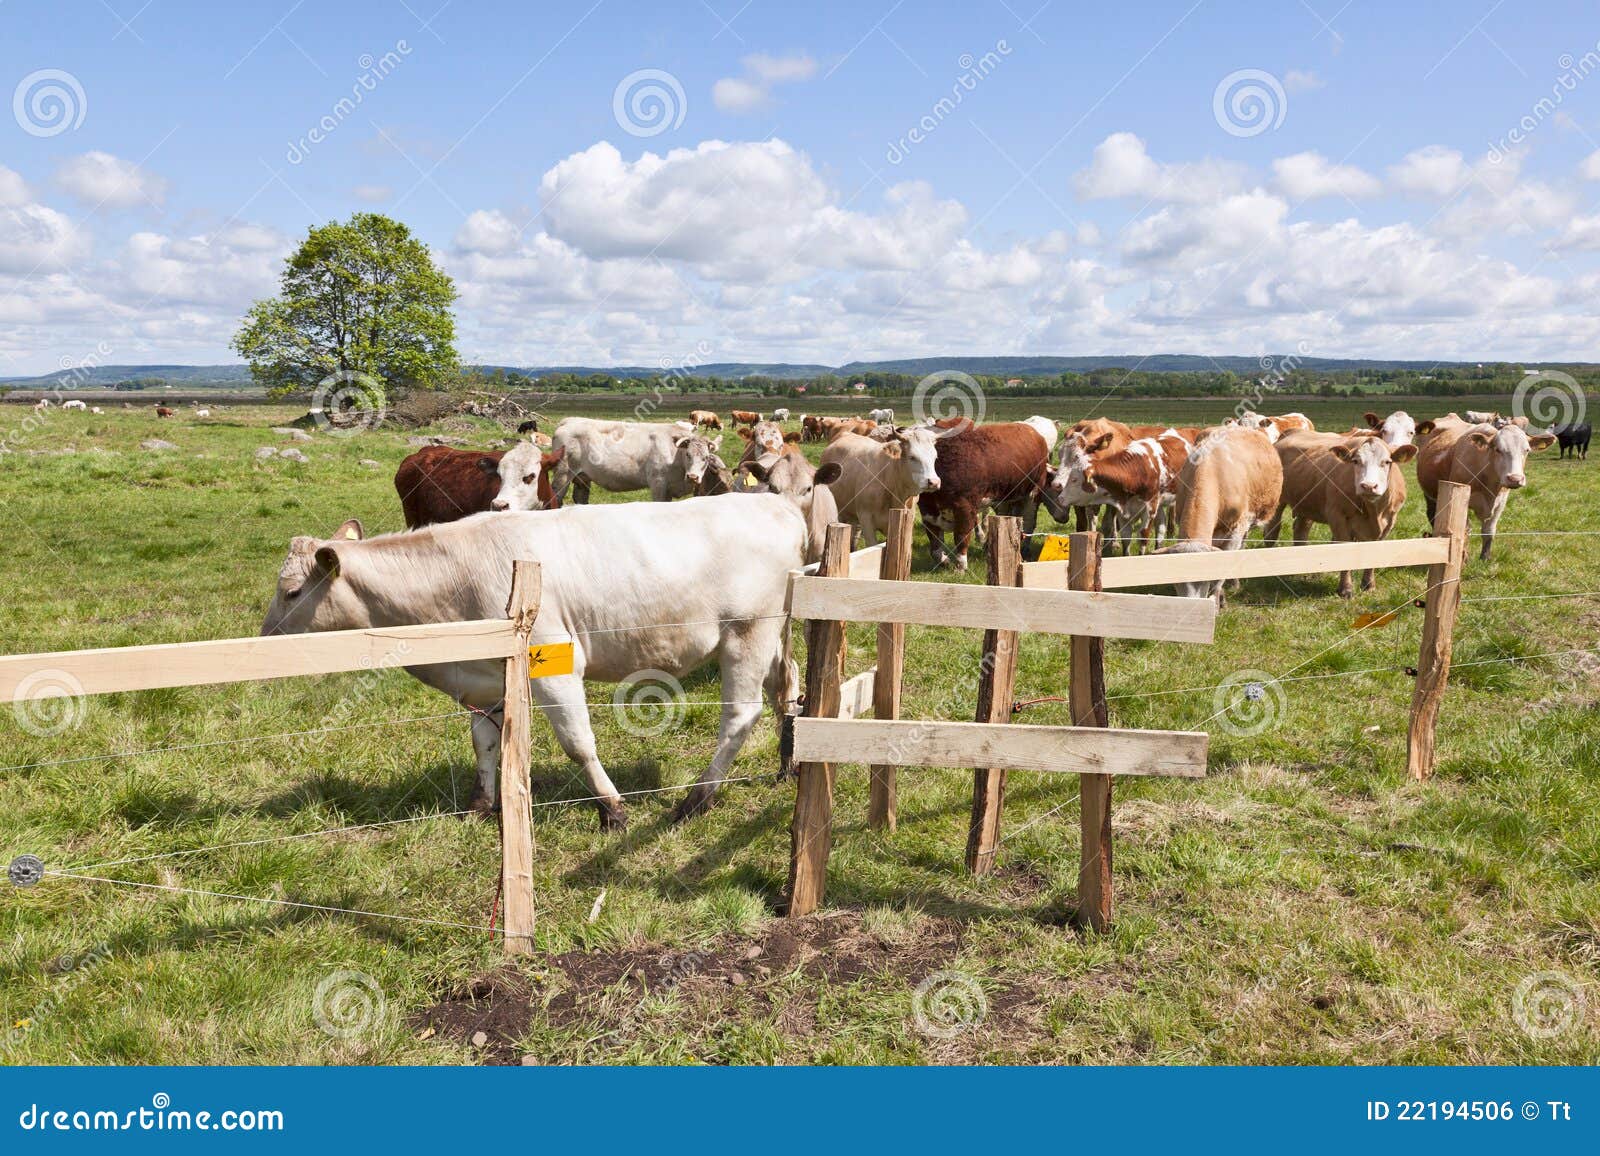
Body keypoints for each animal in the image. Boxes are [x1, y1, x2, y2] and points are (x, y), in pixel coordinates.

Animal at [262, 496, 807, 828]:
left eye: (292, 592)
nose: (264, 638)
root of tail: (775, 503)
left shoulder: (554, 666)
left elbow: (578, 744)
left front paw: (612, 809)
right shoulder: (485, 677)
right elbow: (484, 743)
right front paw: (481, 805)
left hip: (747, 633)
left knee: (740, 716)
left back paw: (696, 799)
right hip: (774, 635)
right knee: (789, 684)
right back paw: (788, 765)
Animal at [548, 418, 723, 503]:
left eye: (706, 457)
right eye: (688, 454)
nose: (693, 477)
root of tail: (569, 421)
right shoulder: (658, 483)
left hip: (583, 477)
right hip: (563, 474)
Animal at [918, 423, 1050, 571]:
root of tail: (1032, 431)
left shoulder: (965, 507)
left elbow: (961, 537)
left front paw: (961, 566)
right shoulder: (927, 512)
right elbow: (934, 546)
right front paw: (944, 560)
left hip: (1034, 492)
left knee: (1029, 521)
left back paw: (1025, 548)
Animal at [1265, 431, 1417, 597]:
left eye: (1387, 462)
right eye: (1356, 461)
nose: (1369, 486)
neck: (1373, 512)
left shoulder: (1390, 521)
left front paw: (1369, 585)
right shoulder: (1337, 516)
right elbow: (1345, 548)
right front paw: (1346, 589)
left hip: (1307, 504)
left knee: (1301, 529)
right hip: (1276, 501)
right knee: (1272, 530)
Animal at [1415, 414, 1555, 559]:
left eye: (1527, 450)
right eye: (1498, 449)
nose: (1515, 479)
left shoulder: (1501, 502)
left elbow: (1489, 531)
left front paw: (1485, 558)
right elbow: (1464, 530)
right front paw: (1463, 556)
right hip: (1430, 494)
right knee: (1432, 514)